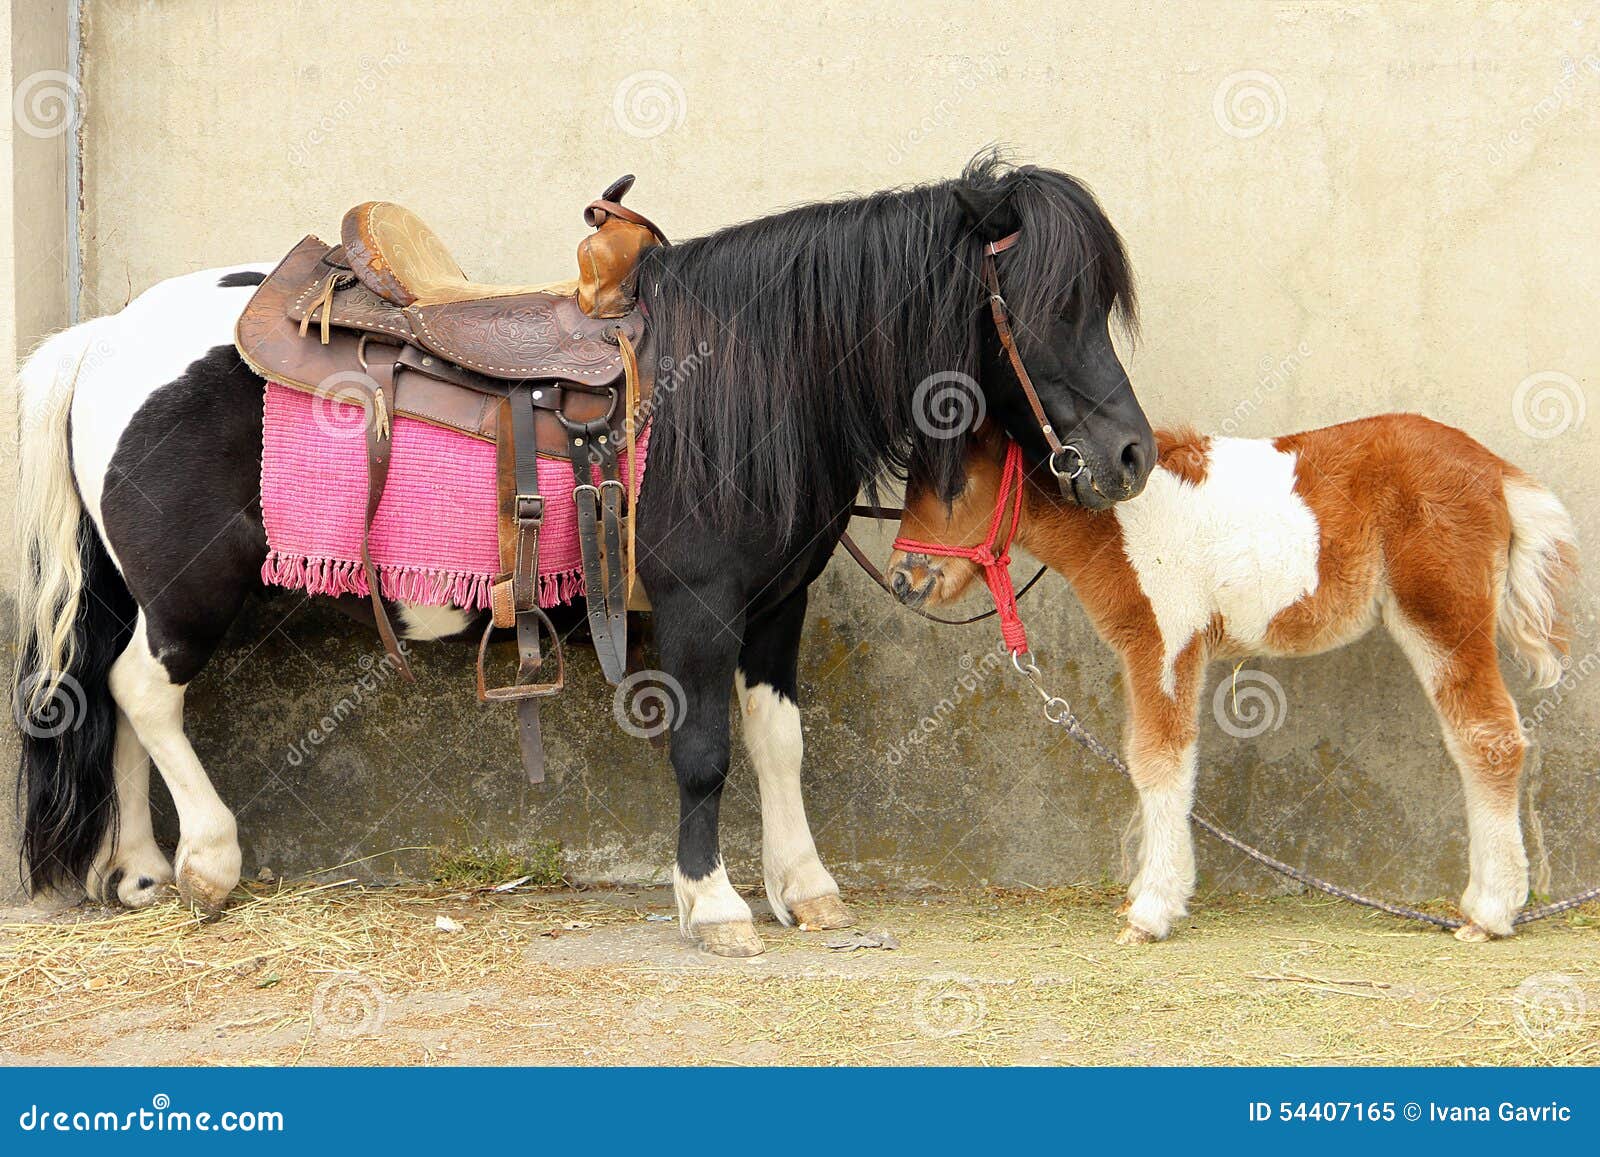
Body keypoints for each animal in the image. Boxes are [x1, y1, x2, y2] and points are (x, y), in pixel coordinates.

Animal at [11, 155, 1155, 957]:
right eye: (1047, 306)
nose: (1129, 456)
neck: (750, 375)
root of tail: (107, 333)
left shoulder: (775, 607)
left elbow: (778, 743)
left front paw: (807, 888)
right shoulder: (699, 605)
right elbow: (703, 751)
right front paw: (714, 901)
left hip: (148, 592)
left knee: (115, 697)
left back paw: (140, 868)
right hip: (189, 589)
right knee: (144, 691)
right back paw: (206, 859)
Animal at [887, 414, 1578, 944]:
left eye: (955, 487)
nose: (902, 578)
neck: (1121, 523)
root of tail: (1497, 472)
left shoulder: (1167, 643)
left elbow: (1159, 760)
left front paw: (1151, 912)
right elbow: (1147, 760)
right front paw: (1145, 894)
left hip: (1442, 618)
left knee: (1490, 739)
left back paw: (1489, 913)